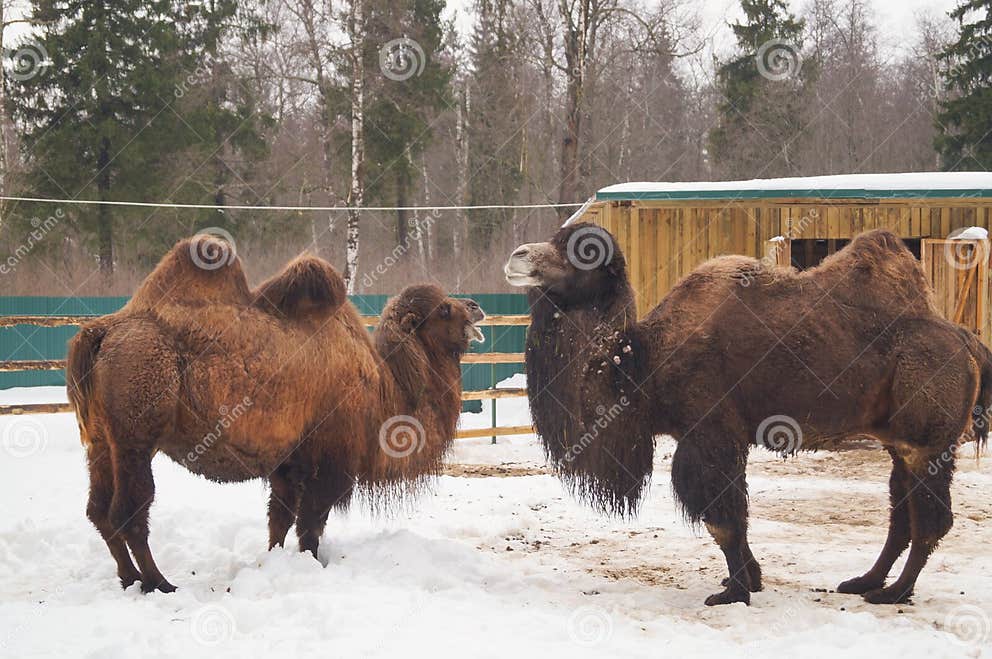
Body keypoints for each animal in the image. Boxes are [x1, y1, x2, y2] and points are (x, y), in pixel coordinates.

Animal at [67, 235, 485, 593]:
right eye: (443, 309)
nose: (475, 306)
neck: (386, 391)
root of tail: (100, 333)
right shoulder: (330, 460)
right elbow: (310, 523)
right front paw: (311, 564)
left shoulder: (291, 459)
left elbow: (279, 518)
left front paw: (272, 562)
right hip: (137, 438)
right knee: (129, 511)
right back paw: (159, 583)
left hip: (101, 441)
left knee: (98, 509)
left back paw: (129, 578)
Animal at [505, 223, 991, 606]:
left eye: (581, 253)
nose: (518, 255)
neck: (640, 362)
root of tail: (967, 342)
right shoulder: (720, 439)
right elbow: (732, 516)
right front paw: (748, 580)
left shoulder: (710, 434)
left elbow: (721, 519)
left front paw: (734, 592)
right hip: (899, 444)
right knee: (901, 518)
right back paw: (864, 581)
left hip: (926, 442)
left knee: (930, 521)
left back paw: (893, 593)